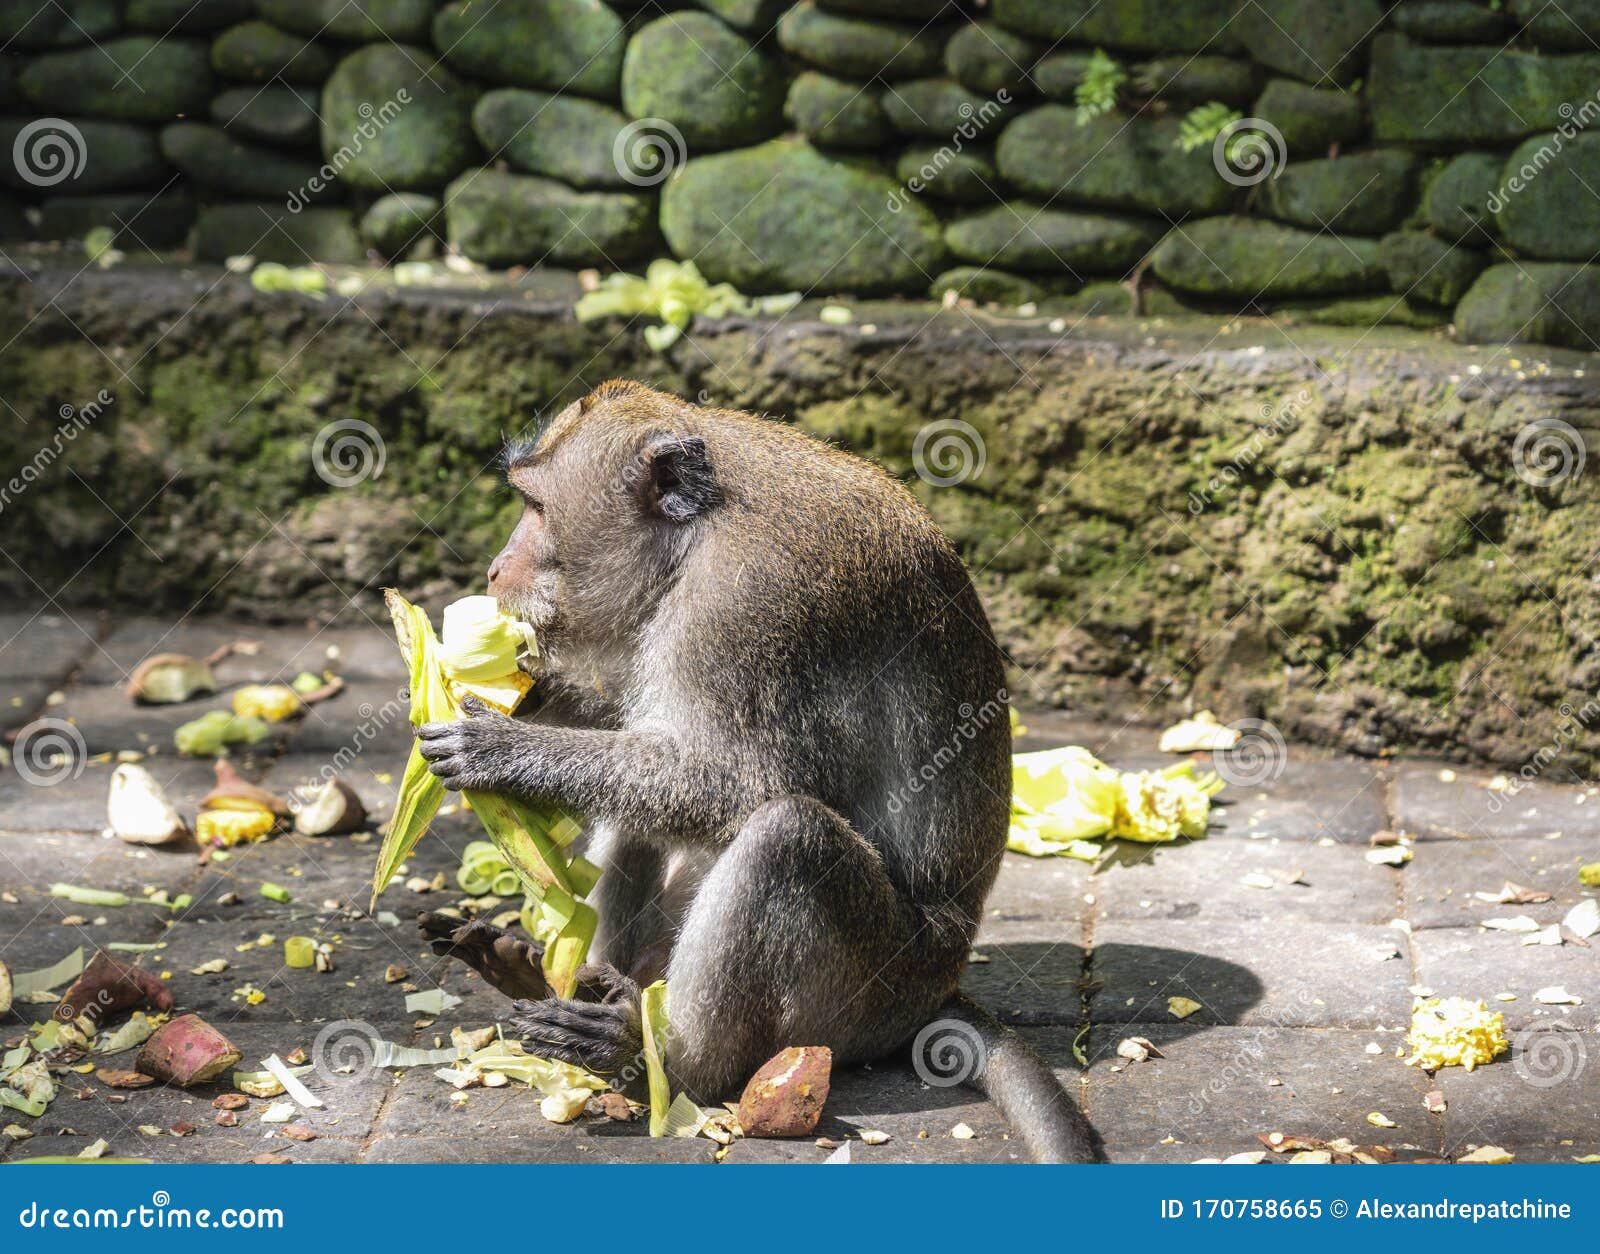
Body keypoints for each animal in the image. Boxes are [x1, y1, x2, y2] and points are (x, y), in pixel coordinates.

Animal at [415, 379, 1101, 1163]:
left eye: (533, 506)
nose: (496, 568)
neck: (693, 538)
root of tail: (939, 987)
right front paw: (540, 696)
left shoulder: (742, 606)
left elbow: (745, 782)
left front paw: (502, 748)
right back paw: (572, 982)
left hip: (871, 990)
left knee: (787, 835)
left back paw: (655, 1057)